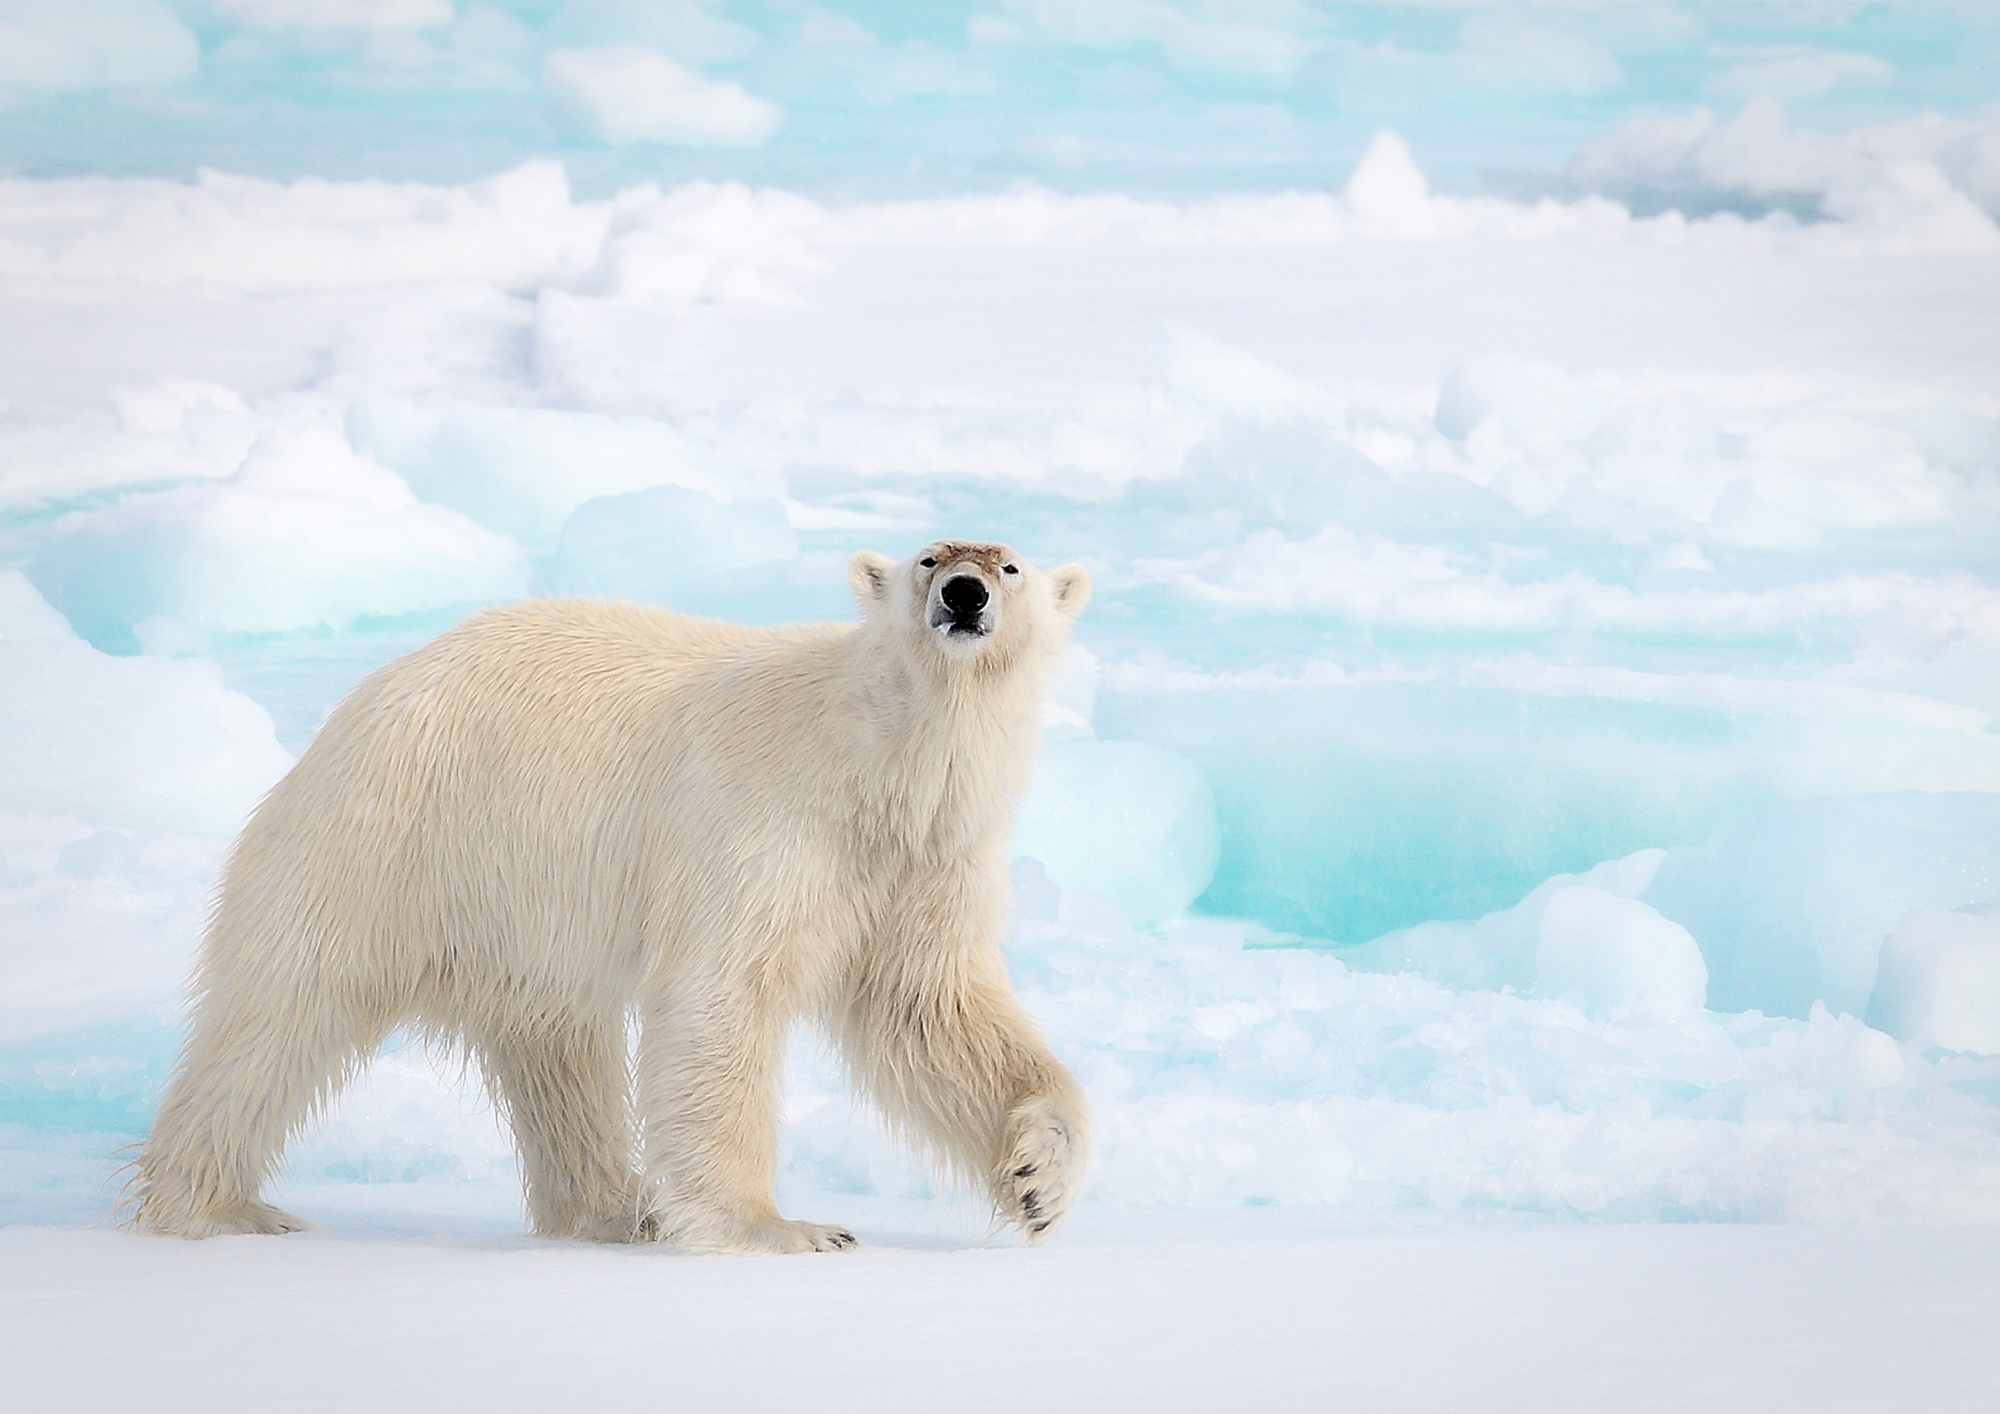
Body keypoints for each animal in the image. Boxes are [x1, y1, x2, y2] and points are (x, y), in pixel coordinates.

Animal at [129, 540, 1092, 1253]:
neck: (877, 765)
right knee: (282, 1016)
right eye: (931, 557)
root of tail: (358, 703)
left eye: (1009, 565)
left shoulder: (926, 860)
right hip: (389, 845)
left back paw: (615, 1210)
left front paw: (1039, 1178)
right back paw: (215, 1206)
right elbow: (723, 996)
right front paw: (785, 1228)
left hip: (514, 908)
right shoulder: (768, 827)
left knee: (559, 1054)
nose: (964, 593)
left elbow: (931, 1009)